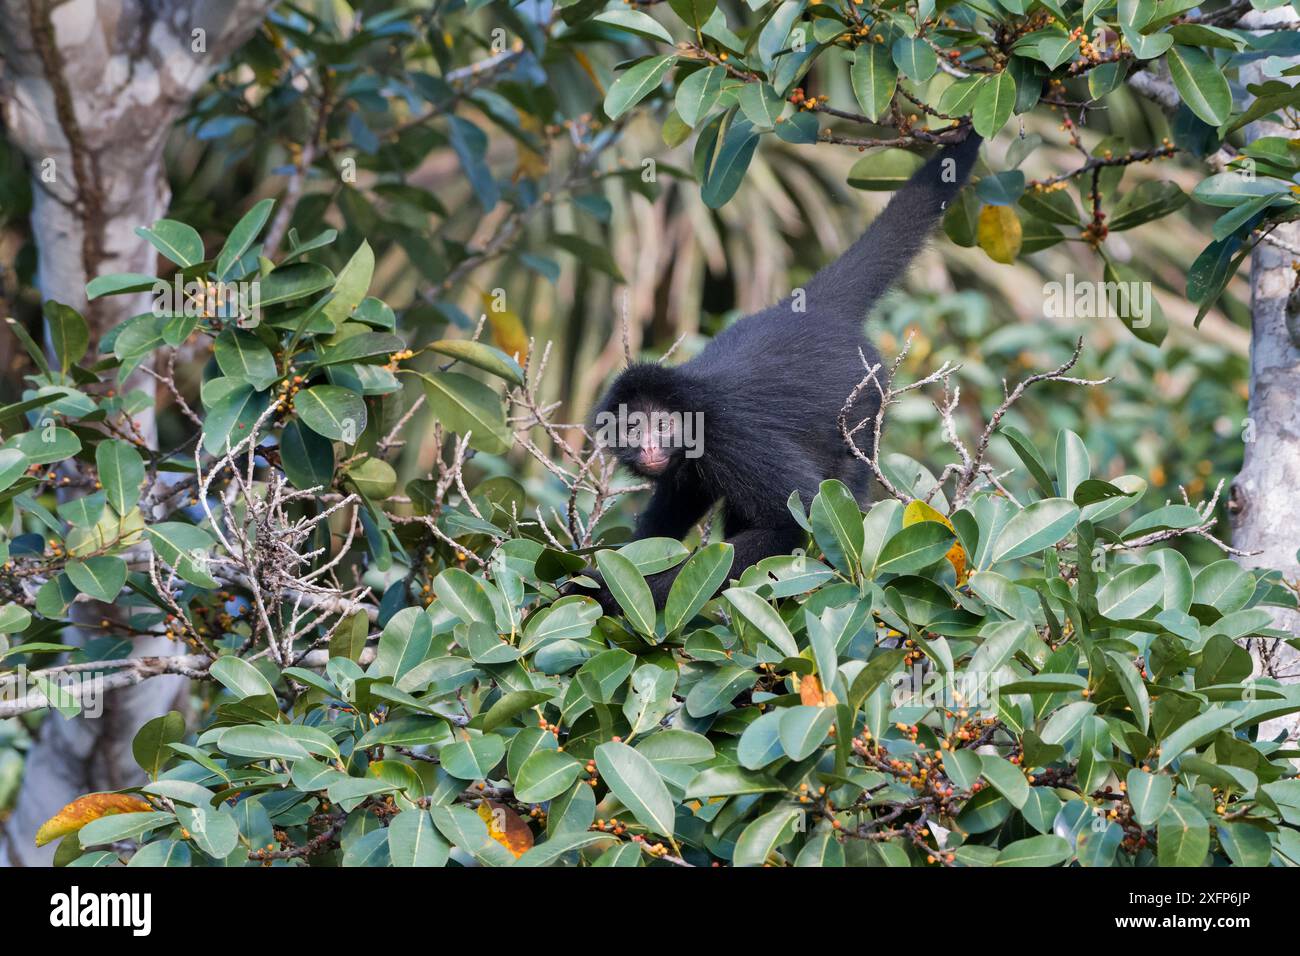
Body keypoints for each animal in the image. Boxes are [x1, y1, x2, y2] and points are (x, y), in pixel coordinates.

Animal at [576, 132, 982, 614]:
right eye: (633, 429)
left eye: (661, 424)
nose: (653, 446)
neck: (690, 405)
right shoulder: (687, 459)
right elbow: (670, 514)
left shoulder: (729, 436)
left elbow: (796, 519)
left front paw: (611, 592)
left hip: (866, 399)